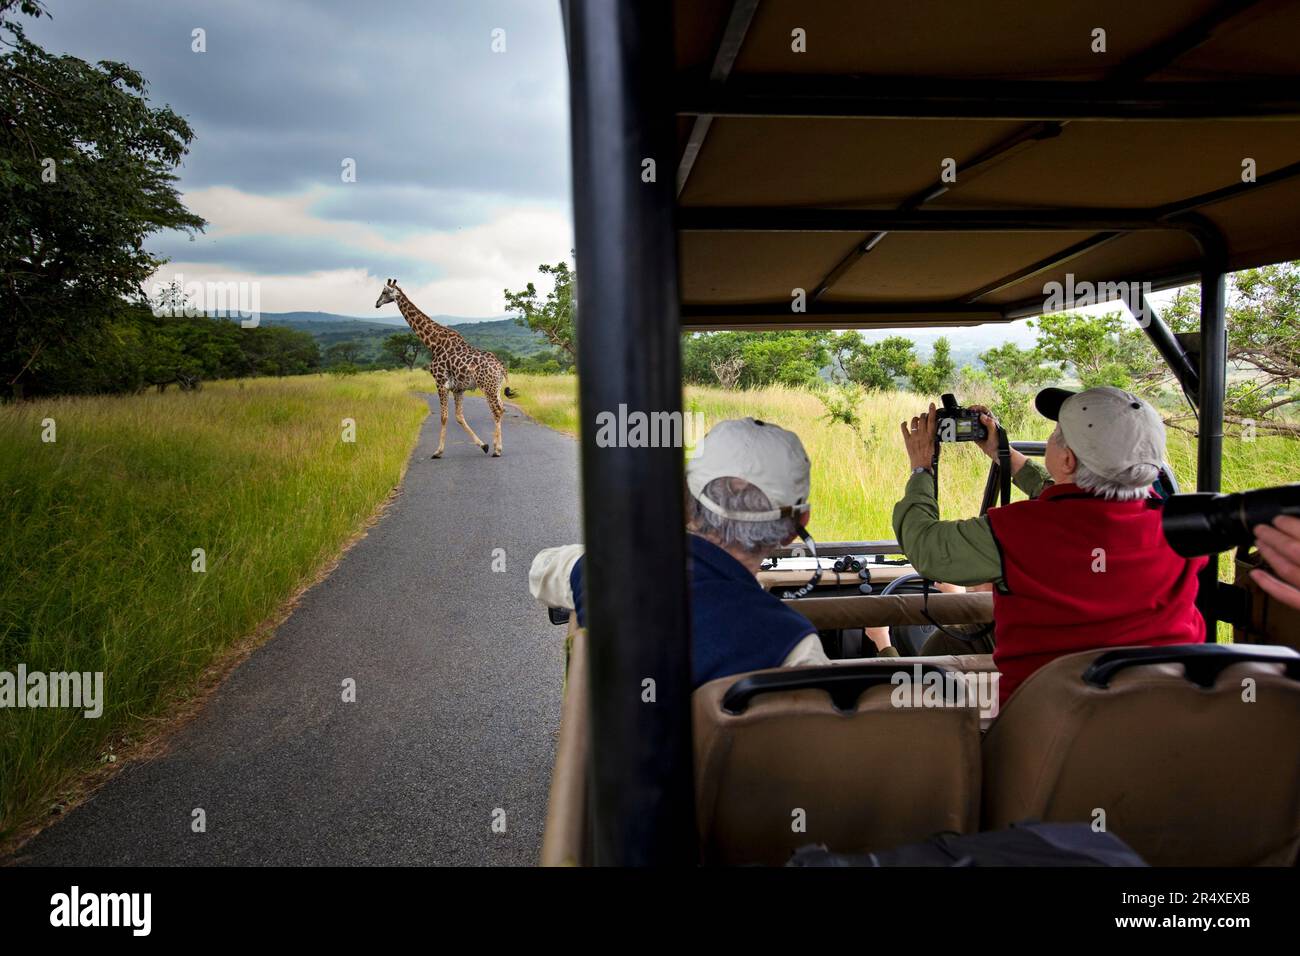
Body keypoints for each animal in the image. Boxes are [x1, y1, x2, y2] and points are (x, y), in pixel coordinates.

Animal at [375, 279, 513, 458]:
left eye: (384, 292)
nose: (377, 304)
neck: (434, 343)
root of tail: (501, 367)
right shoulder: (458, 388)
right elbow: (459, 416)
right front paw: (483, 445)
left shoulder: (440, 382)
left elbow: (444, 417)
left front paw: (438, 451)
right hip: (496, 387)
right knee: (502, 408)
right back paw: (496, 446)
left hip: (488, 387)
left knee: (496, 410)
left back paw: (498, 450)